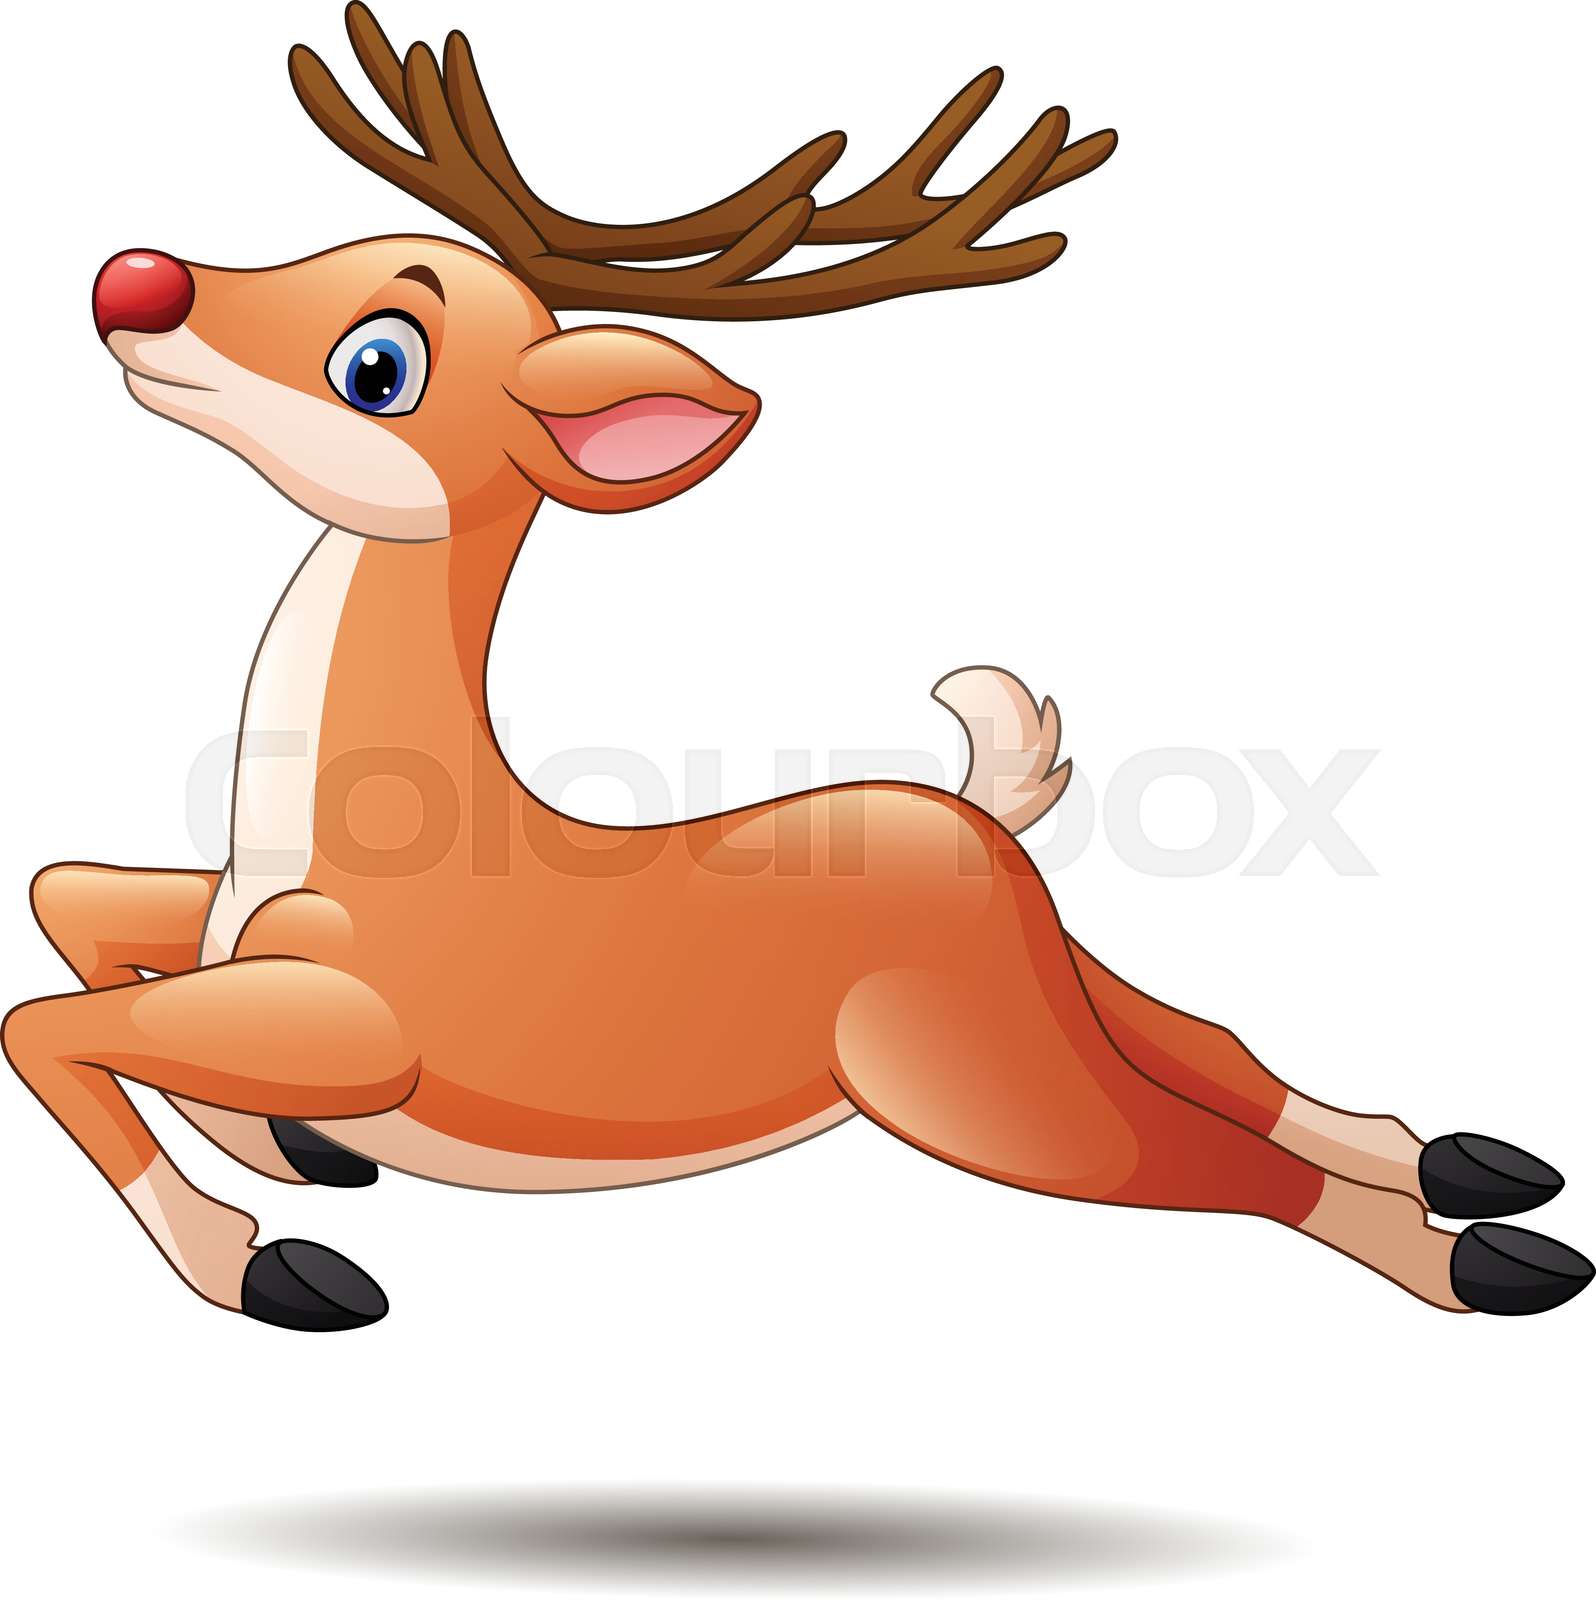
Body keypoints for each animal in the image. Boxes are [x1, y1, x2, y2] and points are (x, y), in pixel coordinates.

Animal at [5, 2, 1589, 1332]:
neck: (334, 837)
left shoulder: (363, 1028)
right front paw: (296, 1159)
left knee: (1213, 1163)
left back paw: (1491, 1263)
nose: (135, 282)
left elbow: (48, 1028)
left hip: (974, 1086)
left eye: (380, 362)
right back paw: (1472, 1163)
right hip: (1052, 973)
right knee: (1209, 1037)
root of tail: (970, 814)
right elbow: (64, 899)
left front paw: (271, 1259)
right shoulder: (224, 935)